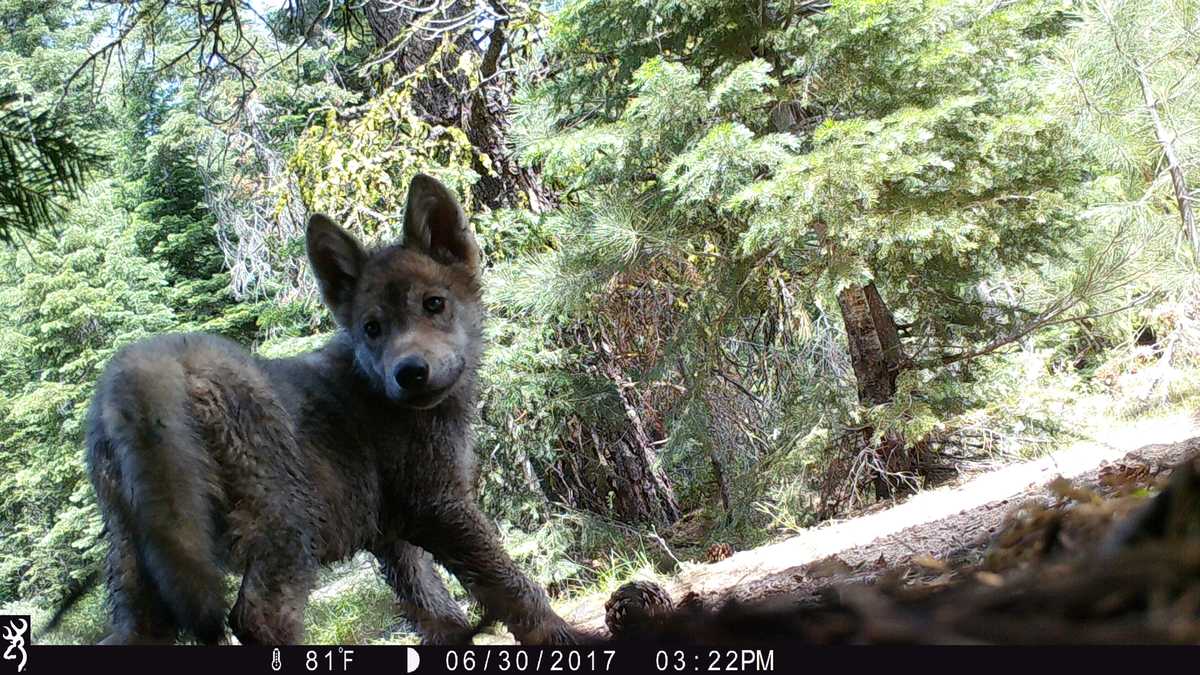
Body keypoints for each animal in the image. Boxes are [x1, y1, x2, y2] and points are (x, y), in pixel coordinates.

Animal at [84, 174, 575, 645]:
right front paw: (568, 638)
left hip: (143, 573)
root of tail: (142, 368)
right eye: (371, 328)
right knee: (254, 618)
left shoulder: (393, 539)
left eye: (434, 304)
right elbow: (514, 589)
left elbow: (435, 611)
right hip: (289, 530)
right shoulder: (440, 508)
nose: (409, 373)